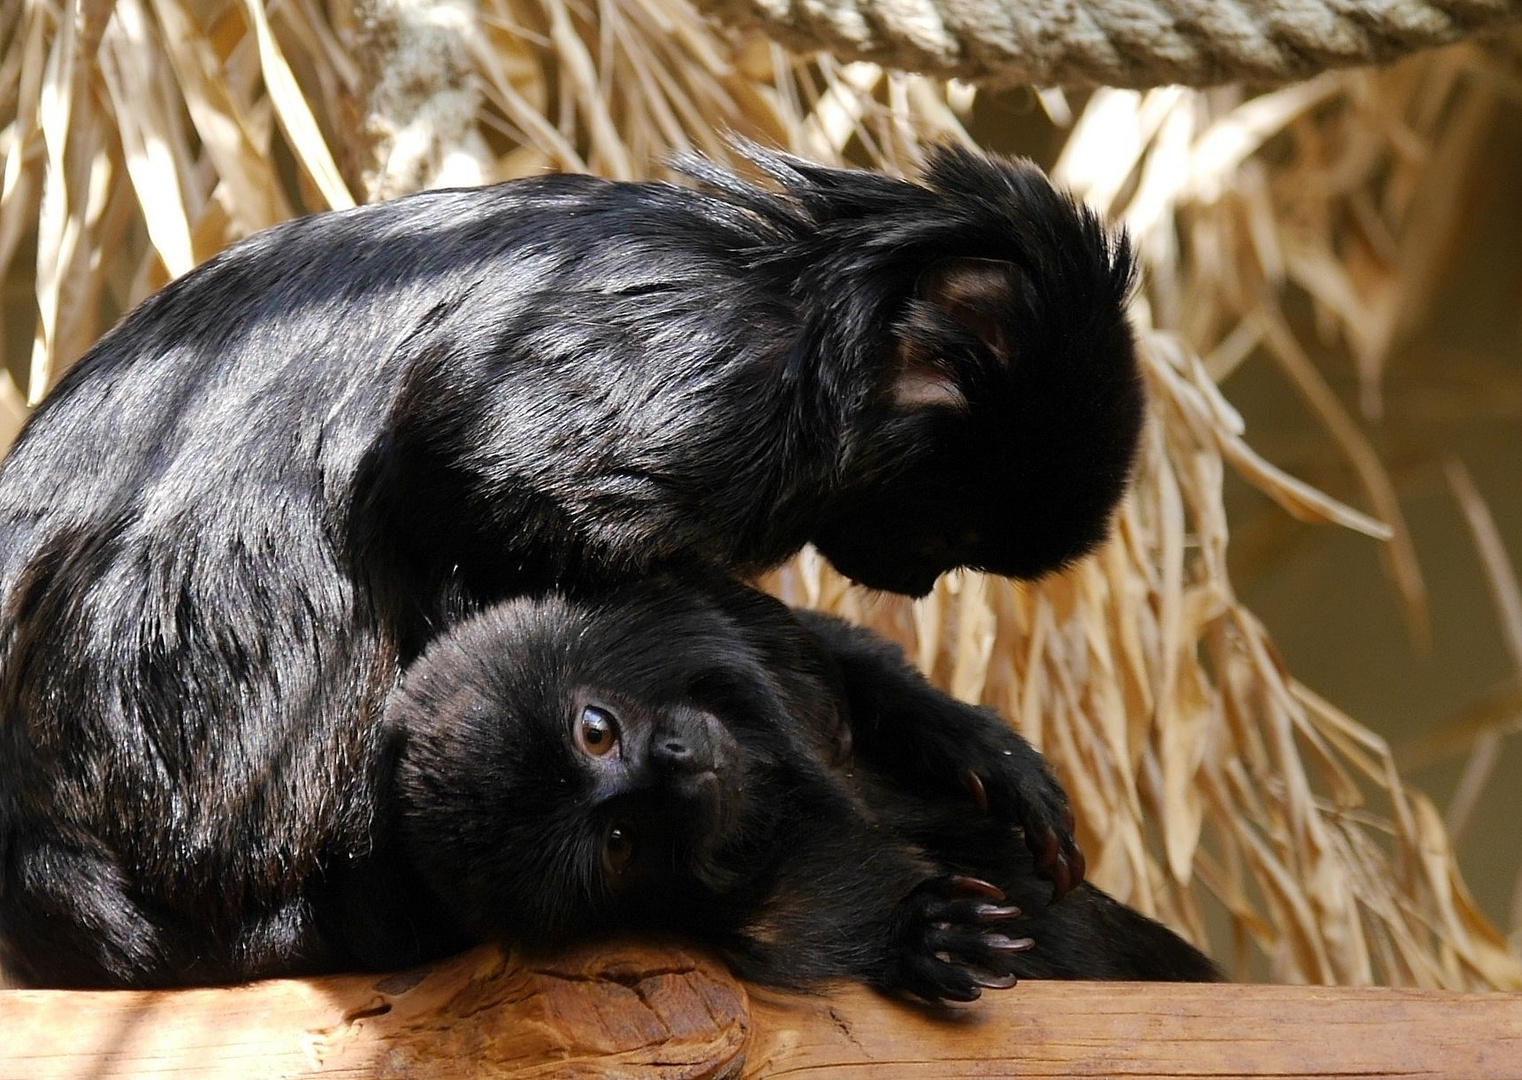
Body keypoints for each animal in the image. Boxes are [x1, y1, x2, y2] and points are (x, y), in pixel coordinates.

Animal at [0, 143, 1144, 991]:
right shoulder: (702, 373)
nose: (914, 589)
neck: (802, 289)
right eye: (946, 542)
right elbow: (471, 470)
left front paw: (958, 737)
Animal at [386, 581, 1217, 1003]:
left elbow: (840, 656)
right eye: (620, 842)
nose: (674, 768)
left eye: (595, 730)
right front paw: (926, 937)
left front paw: (990, 753)